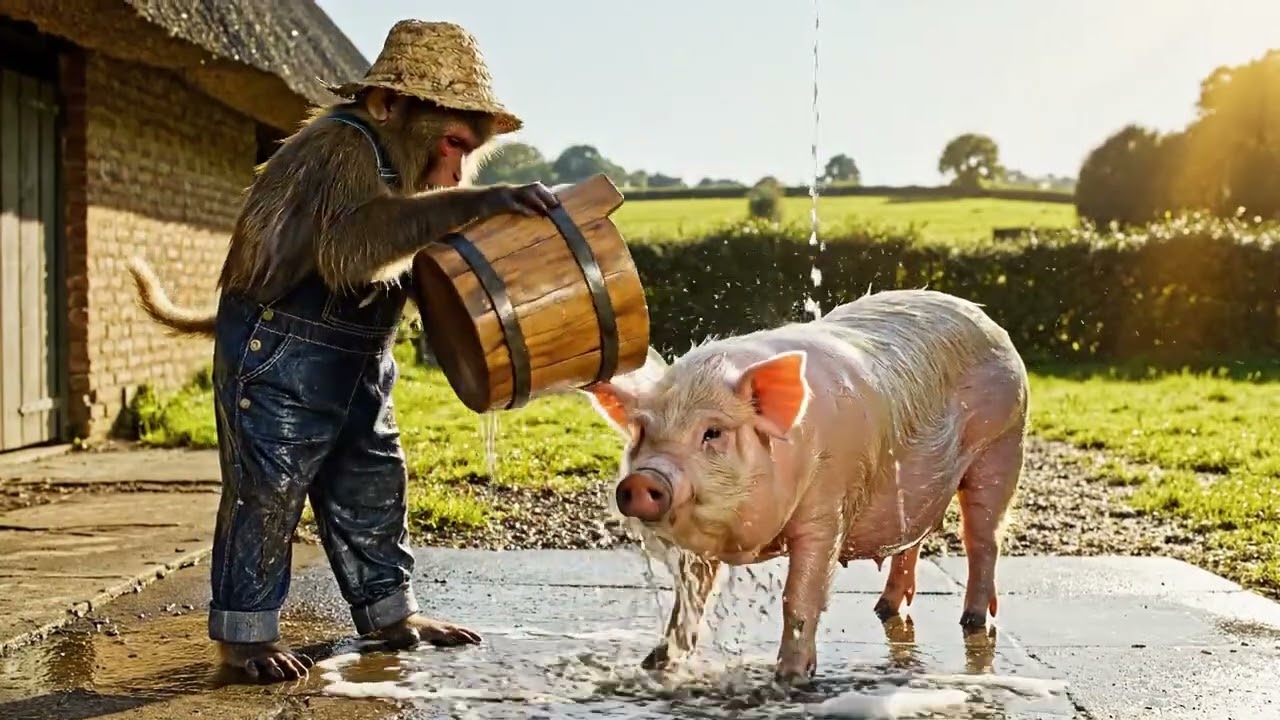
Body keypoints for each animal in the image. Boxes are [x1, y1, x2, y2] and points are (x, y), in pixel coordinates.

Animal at [127, 67, 559, 683]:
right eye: (452, 143)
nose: (455, 174)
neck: (389, 152)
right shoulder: (342, 157)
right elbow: (346, 247)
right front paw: (491, 199)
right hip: (266, 377)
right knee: (268, 493)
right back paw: (250, 648)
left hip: (362, 401)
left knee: (368, 476)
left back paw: (401, 622)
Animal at [584, 288, 1028, 684]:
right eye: (642, 433)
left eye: (712, 432)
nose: (642, 479)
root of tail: (984, 317)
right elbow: (689, 598)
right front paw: (653, 664)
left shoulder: (827, 509)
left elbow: (799, 594)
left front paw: (790, 677)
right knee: (912, 543)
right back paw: (883, 609)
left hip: (1004, 443)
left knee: (983, 538)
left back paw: (972, 620)